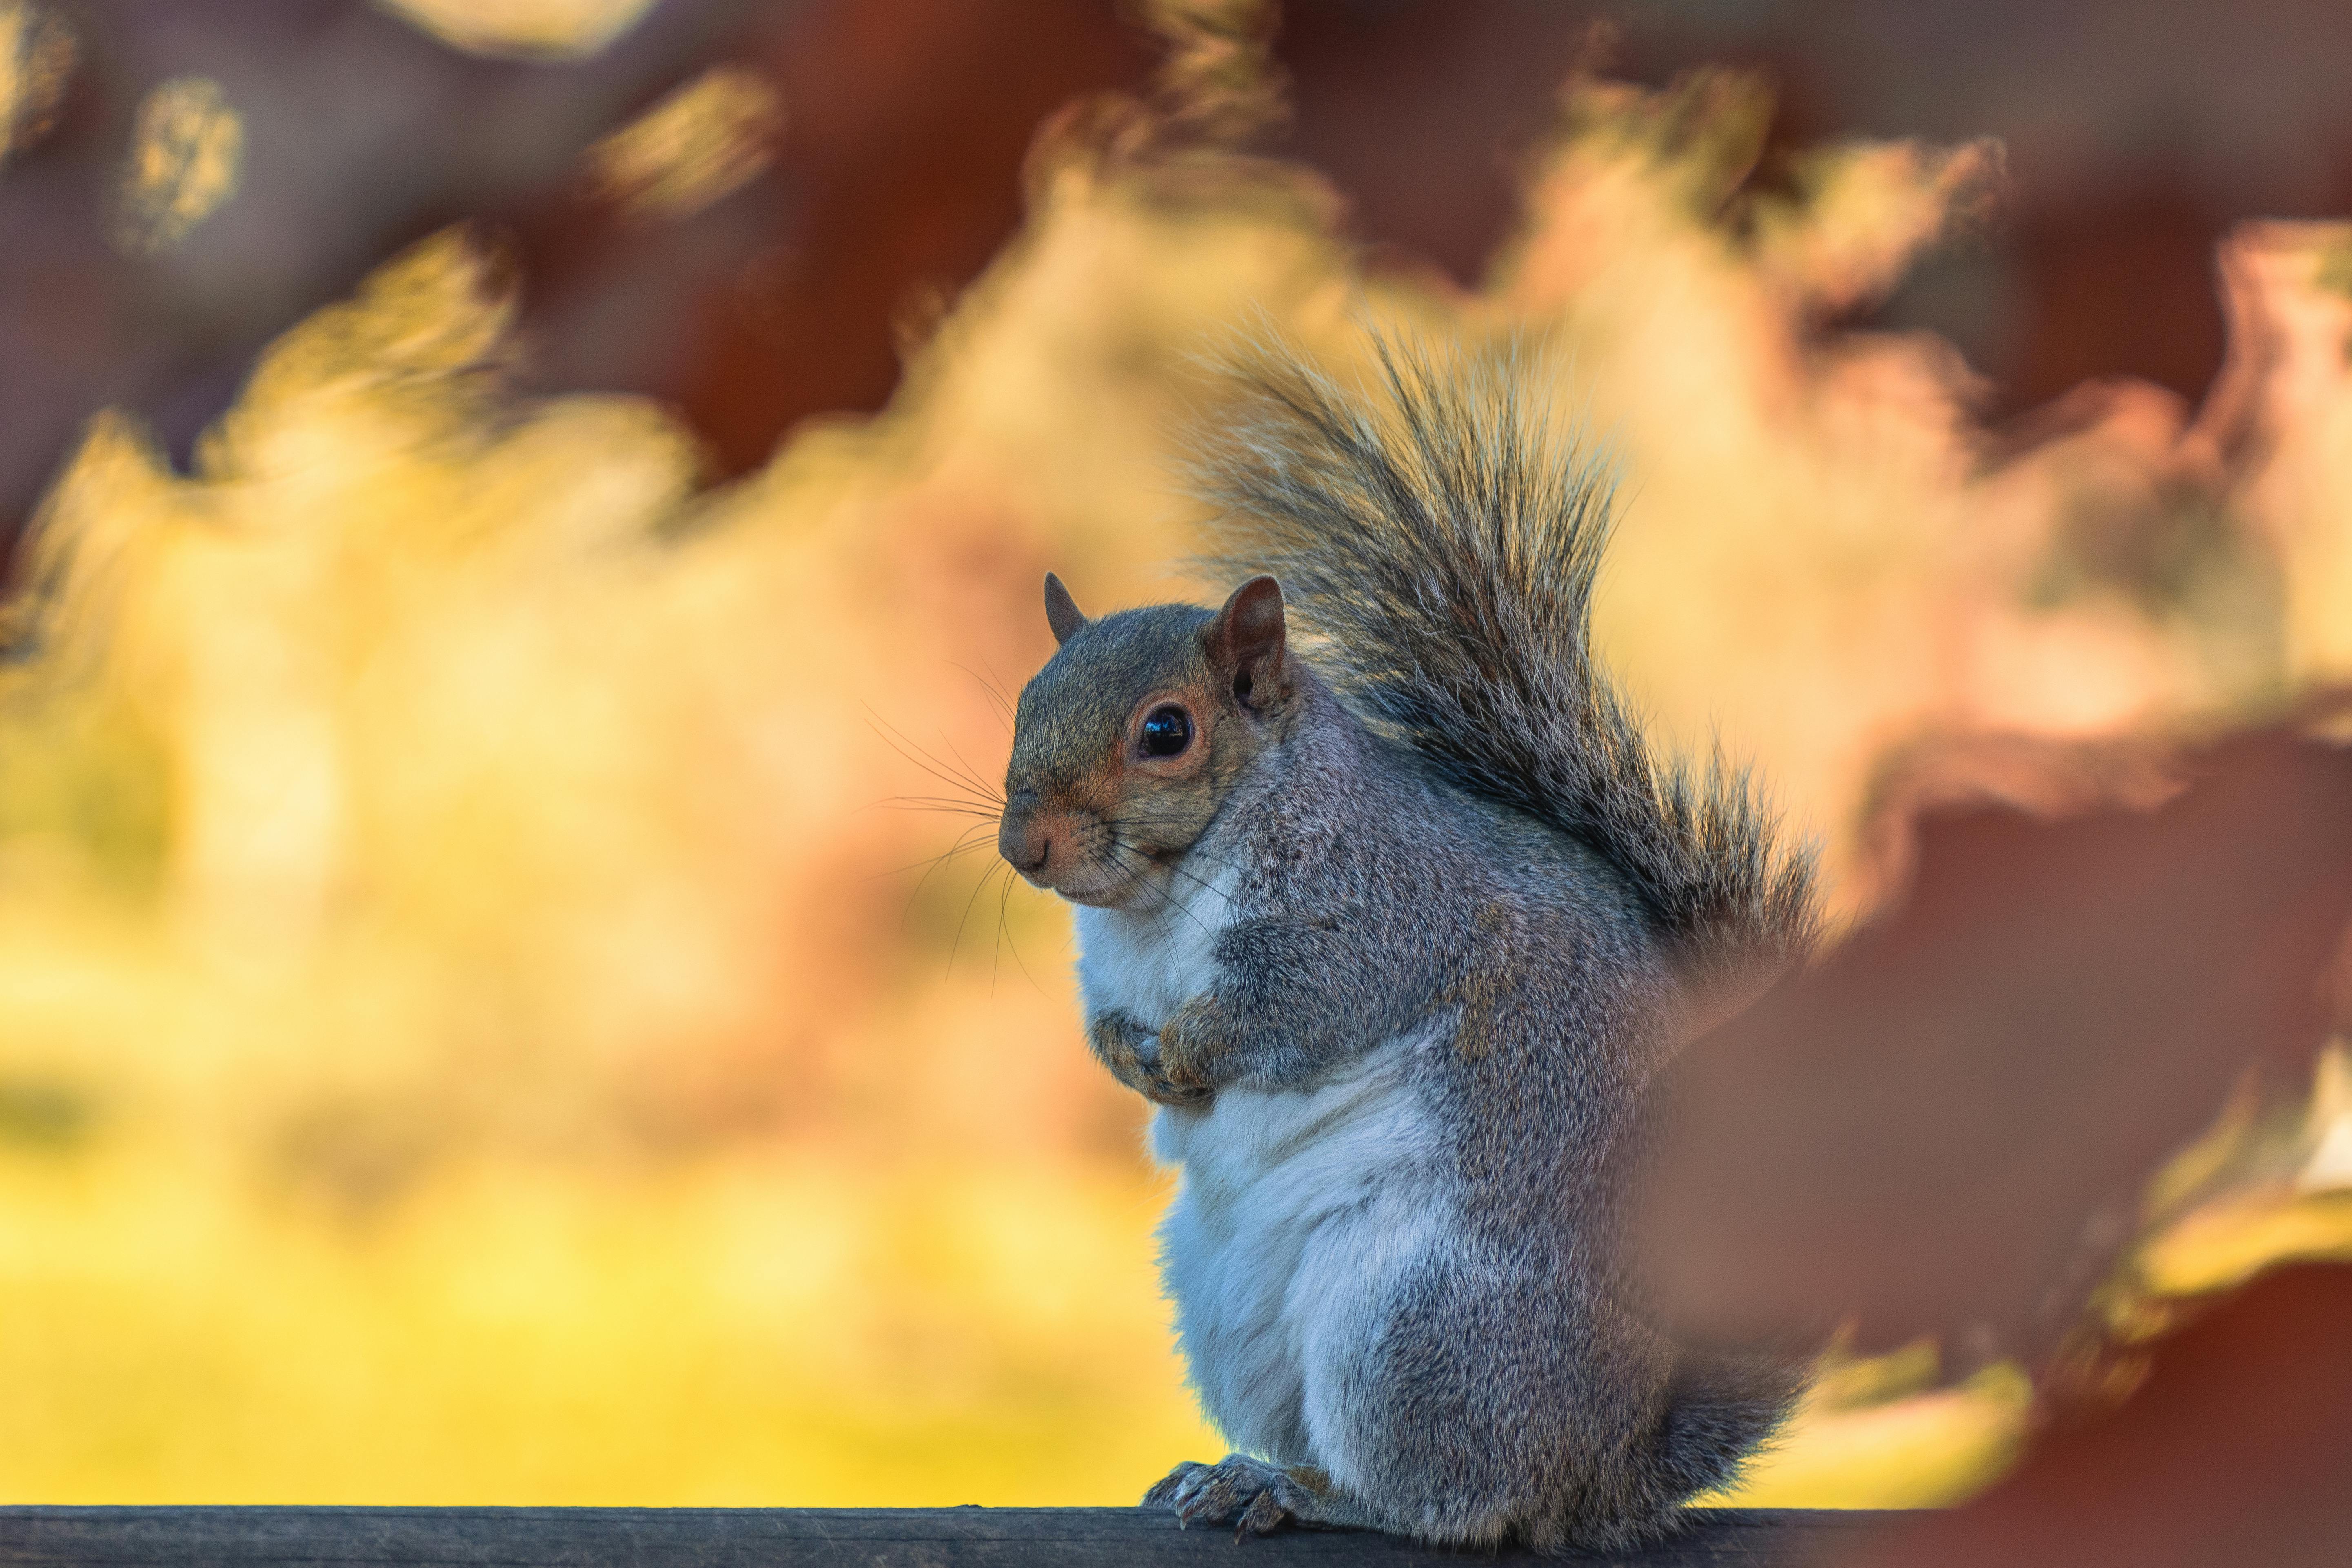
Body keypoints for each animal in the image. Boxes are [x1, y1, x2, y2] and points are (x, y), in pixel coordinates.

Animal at [994, 338, 1818, 1551]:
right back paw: (1237, 1471)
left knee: (1454, 1500)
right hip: (1234, 1305)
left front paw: (1185, 1052)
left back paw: (1311, 1492)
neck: (1153, 897)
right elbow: (1105, 1020)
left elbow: (1294, 1006)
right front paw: (1131, 1061)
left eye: (1166, 731)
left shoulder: (1381, 914)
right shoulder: (1109, 969)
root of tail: (1607, 1471)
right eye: (1024, 701)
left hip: (1417, 1328)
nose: (1023, 844)